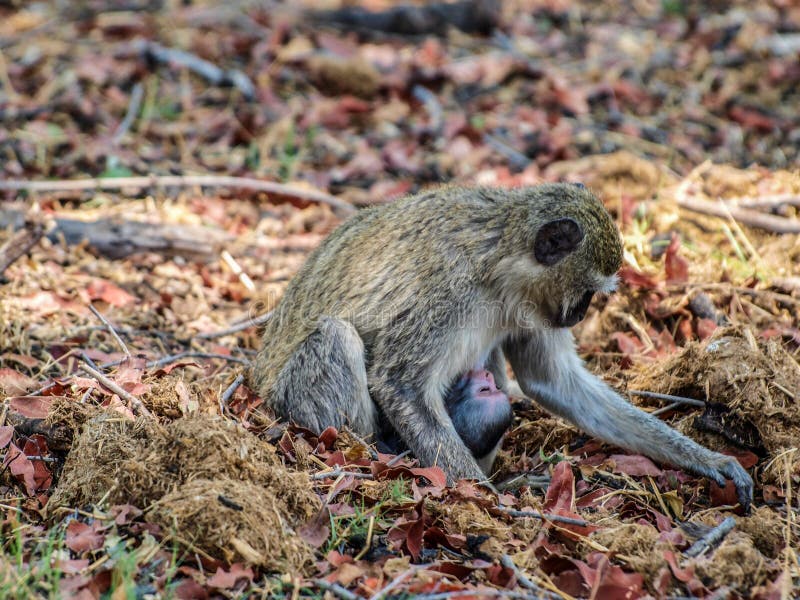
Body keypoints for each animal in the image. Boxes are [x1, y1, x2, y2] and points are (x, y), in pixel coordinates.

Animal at [251, 183, 753, 510]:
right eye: (588, 292)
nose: (578, 316)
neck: (498, 261)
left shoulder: (530, 306)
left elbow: (554, 382)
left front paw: (710, 460)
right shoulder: (447, 290)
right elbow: (400, 385)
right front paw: (487, 501)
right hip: (294, 400)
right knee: (336, 336)